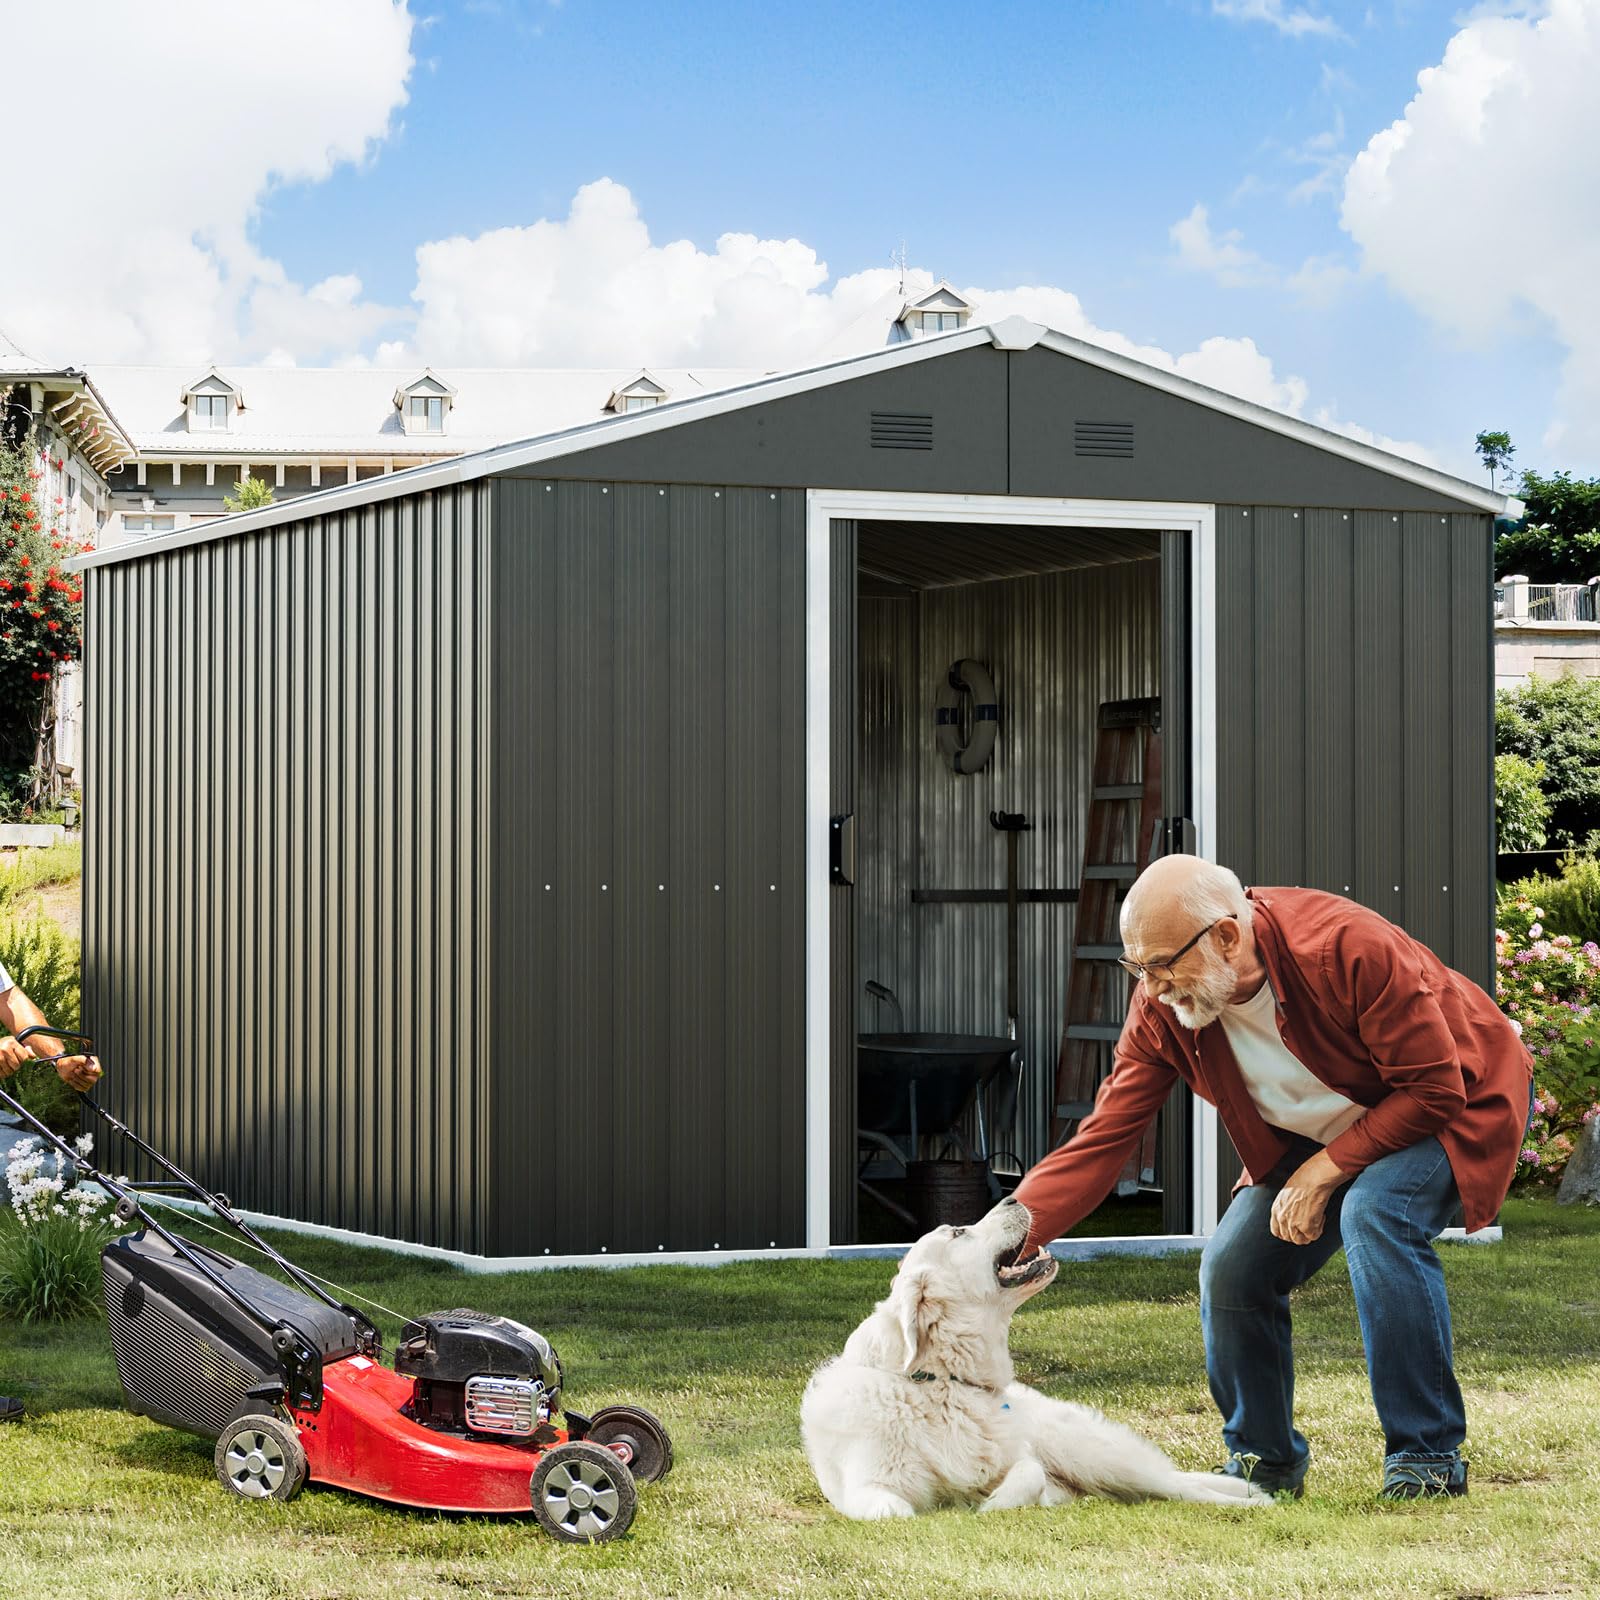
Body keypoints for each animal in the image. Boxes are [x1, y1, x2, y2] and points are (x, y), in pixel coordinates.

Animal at [806, 1196, 1267, 1516]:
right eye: (957, 1232)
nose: (1012, 1197)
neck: (943, 1382)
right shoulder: (866, 1489)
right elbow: (897, 1512)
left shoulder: (1023, 1460)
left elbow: (1027, 1472)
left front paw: (991, 1504)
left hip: (1094, 1454)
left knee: (1181, 1487)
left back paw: (1251, 1501)